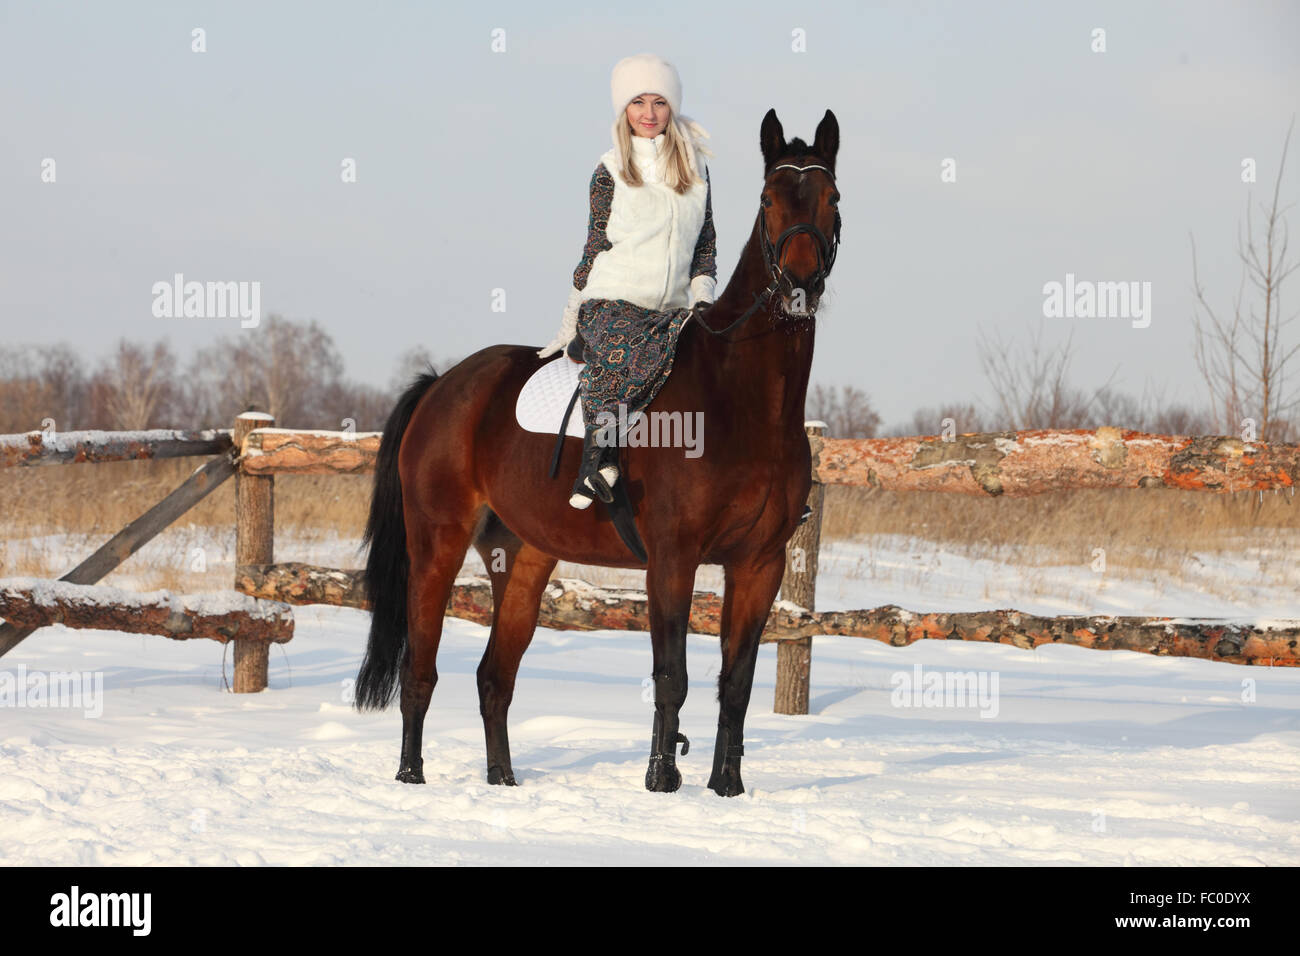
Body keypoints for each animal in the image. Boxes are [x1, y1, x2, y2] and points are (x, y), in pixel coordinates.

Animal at [354, 108, 841, 796]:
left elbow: (737, 682)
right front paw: (662, 779)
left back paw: (503, 781)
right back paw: (411, 776)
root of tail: (442, 385)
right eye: (769, 201)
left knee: (494, 676)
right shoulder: (673, 559)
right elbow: (672, 677)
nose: (800, 286)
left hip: (523, 557)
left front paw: (726, 788)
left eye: (832, 198)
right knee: (419, 668)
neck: (743, 401)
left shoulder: (759, 564)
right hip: (437, 544)